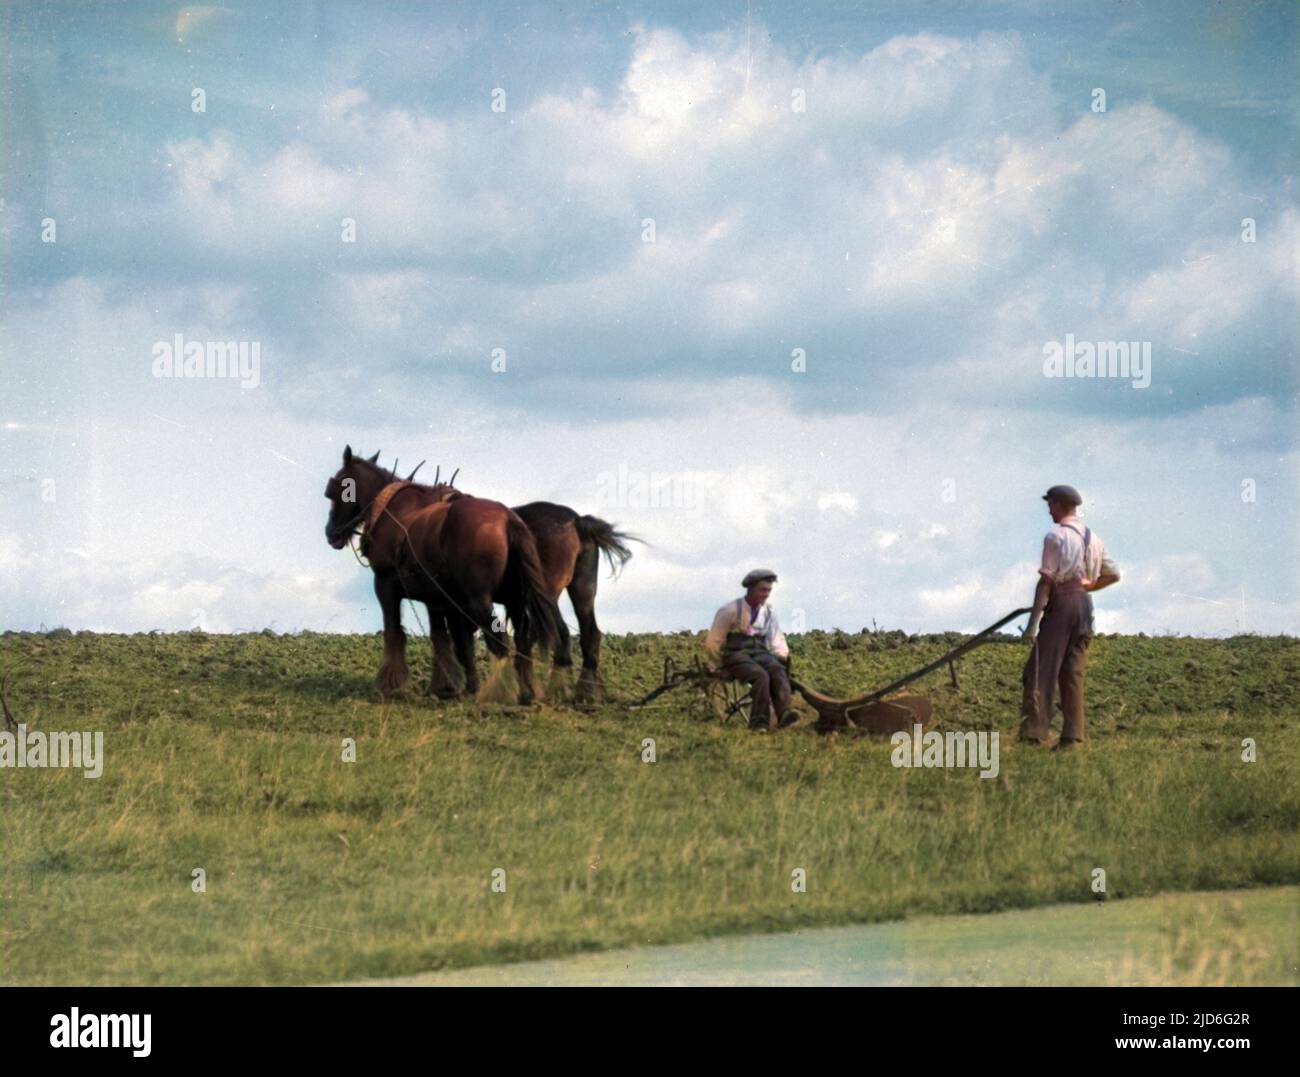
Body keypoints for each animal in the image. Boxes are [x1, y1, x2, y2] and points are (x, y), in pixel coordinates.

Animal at [323, 446, 561, 704]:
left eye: (335, 490)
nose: (331, 533)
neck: (393, 510)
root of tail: (509, 520)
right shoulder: (439, 599)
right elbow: (448, 641)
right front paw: (448, 686)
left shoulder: (386, 584)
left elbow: (394, 632)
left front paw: (390, 685)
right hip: (514, 600)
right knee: (522, 641)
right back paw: (527, 691)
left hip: (480, 600)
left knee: (499, 642)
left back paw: (501, 693)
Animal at [393, 470, 637, 703]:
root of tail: (577, 522)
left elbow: (464, 642)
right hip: (582, 588)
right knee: (588, 632)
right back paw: (585, 691)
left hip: (546, 594)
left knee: (559, 633)